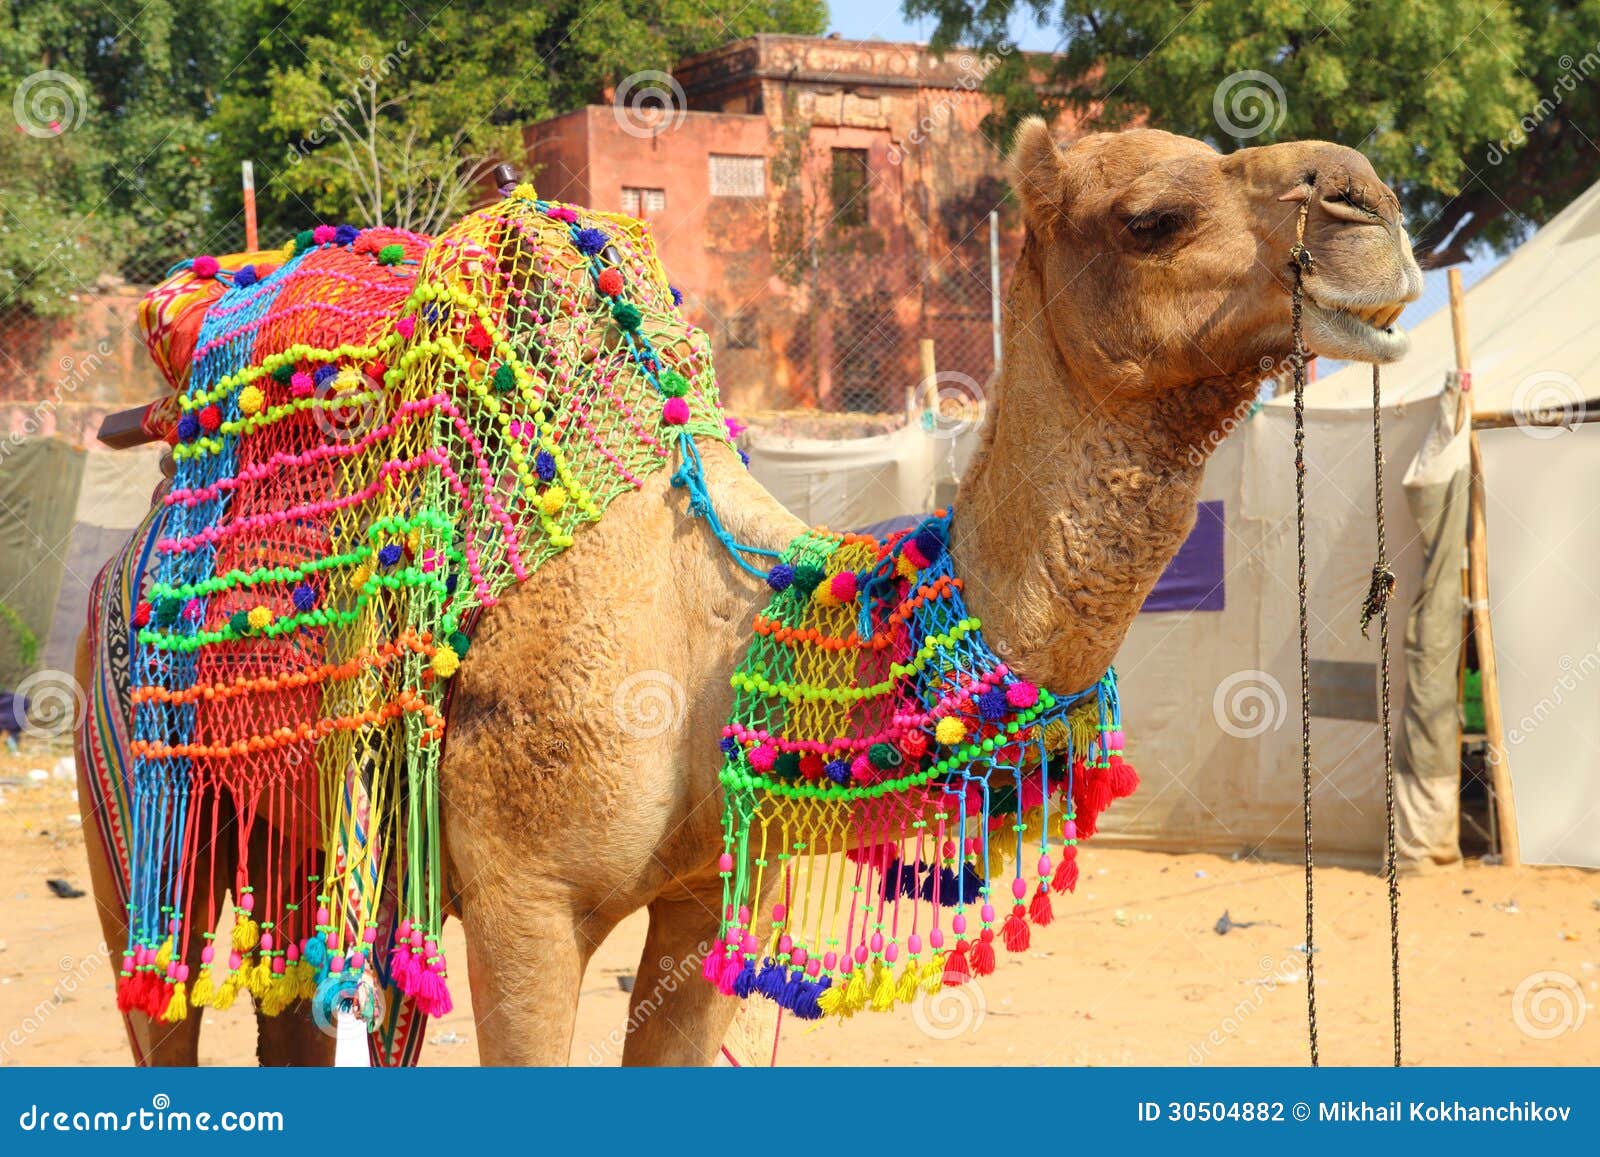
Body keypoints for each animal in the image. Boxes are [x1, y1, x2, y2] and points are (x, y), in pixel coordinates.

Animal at [77, 120, 1421, 1066]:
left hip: (297, 830)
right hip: (138, 796)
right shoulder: (522, 901)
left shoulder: (702, 901)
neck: (715, 637)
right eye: (1152, 214)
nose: (1370, 200)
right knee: (161, 1002)